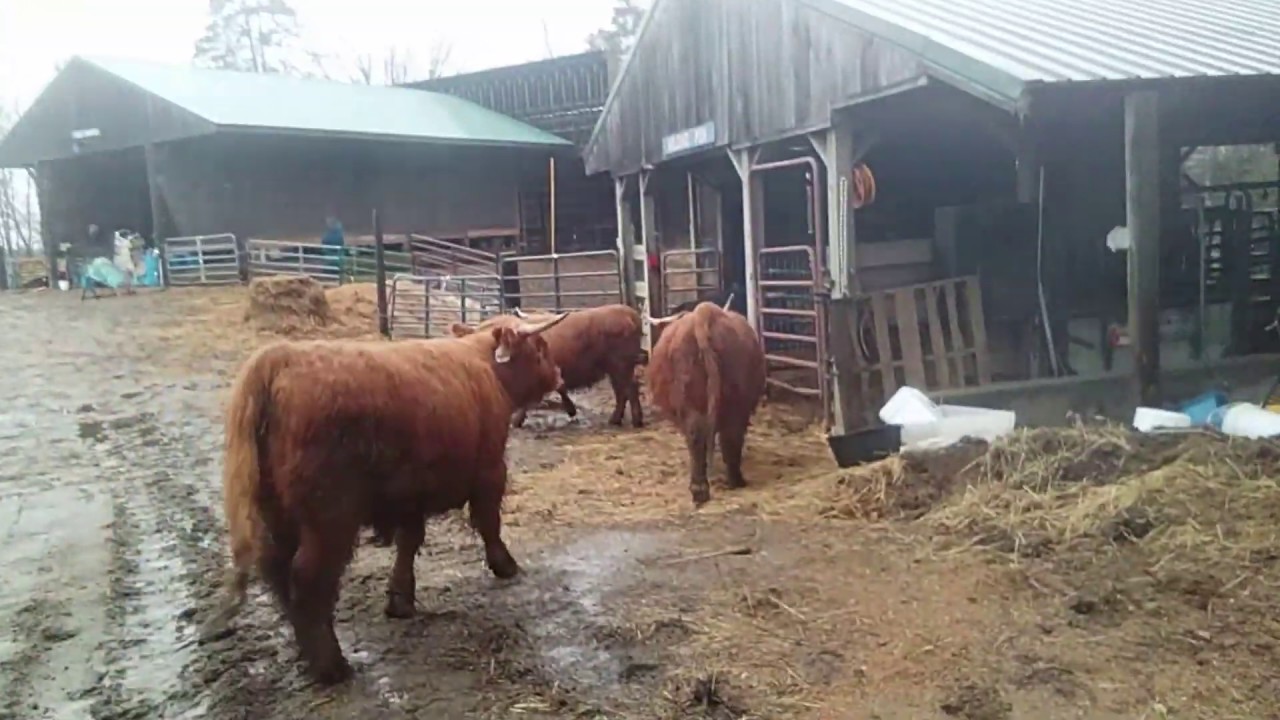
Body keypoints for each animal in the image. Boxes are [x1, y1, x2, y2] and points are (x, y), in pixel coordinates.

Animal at [201, 313, 567, 685]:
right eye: (540, 347)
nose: (558, 375)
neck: (486, 366)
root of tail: (277, 359)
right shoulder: (490, 470)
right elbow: (488, 523)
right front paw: (504, 565)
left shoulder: (411, 493)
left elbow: (409, 542)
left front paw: (400, 599)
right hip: (330, 518)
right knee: (307, 579)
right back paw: (332, 666)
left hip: (277, 515)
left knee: (278, 572)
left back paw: (310, 655)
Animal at [451, 304, 645, 428]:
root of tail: (629, 313)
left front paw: (517, 420)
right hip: (616, 368)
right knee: (622, 390)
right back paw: (617, 419)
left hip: (621, 365)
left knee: (630, 387)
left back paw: (635, 420)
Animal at [647, 298, 766, 506]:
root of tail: (702, 315)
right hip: (736, 403)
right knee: (728, 436)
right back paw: (727, 481)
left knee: (703, 436)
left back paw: (705, 486)